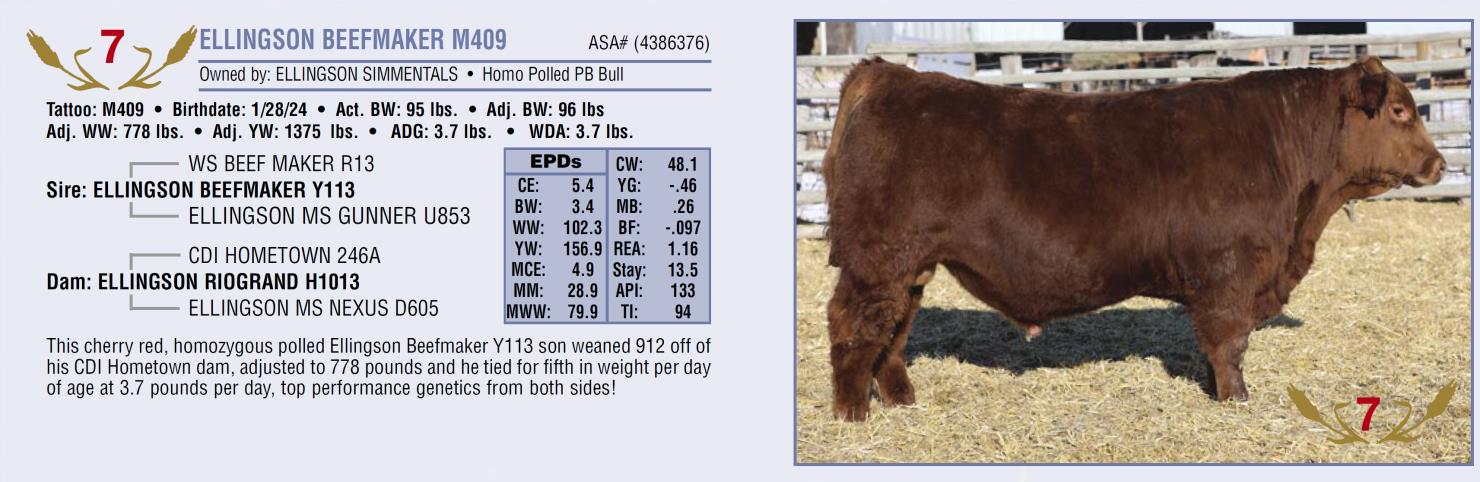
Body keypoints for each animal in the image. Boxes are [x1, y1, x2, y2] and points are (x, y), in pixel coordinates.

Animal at [822, 56, 1446, 421]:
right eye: (1398, 110)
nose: (1439, 164)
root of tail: (886, 73)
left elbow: (1216, 345)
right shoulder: (1228, 273)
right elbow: (1230, 343)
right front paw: (1236, 401)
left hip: (912, 265)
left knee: (894, 334)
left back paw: (902, 402)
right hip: (878, 260)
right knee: (856, 326)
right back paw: (853, 414)